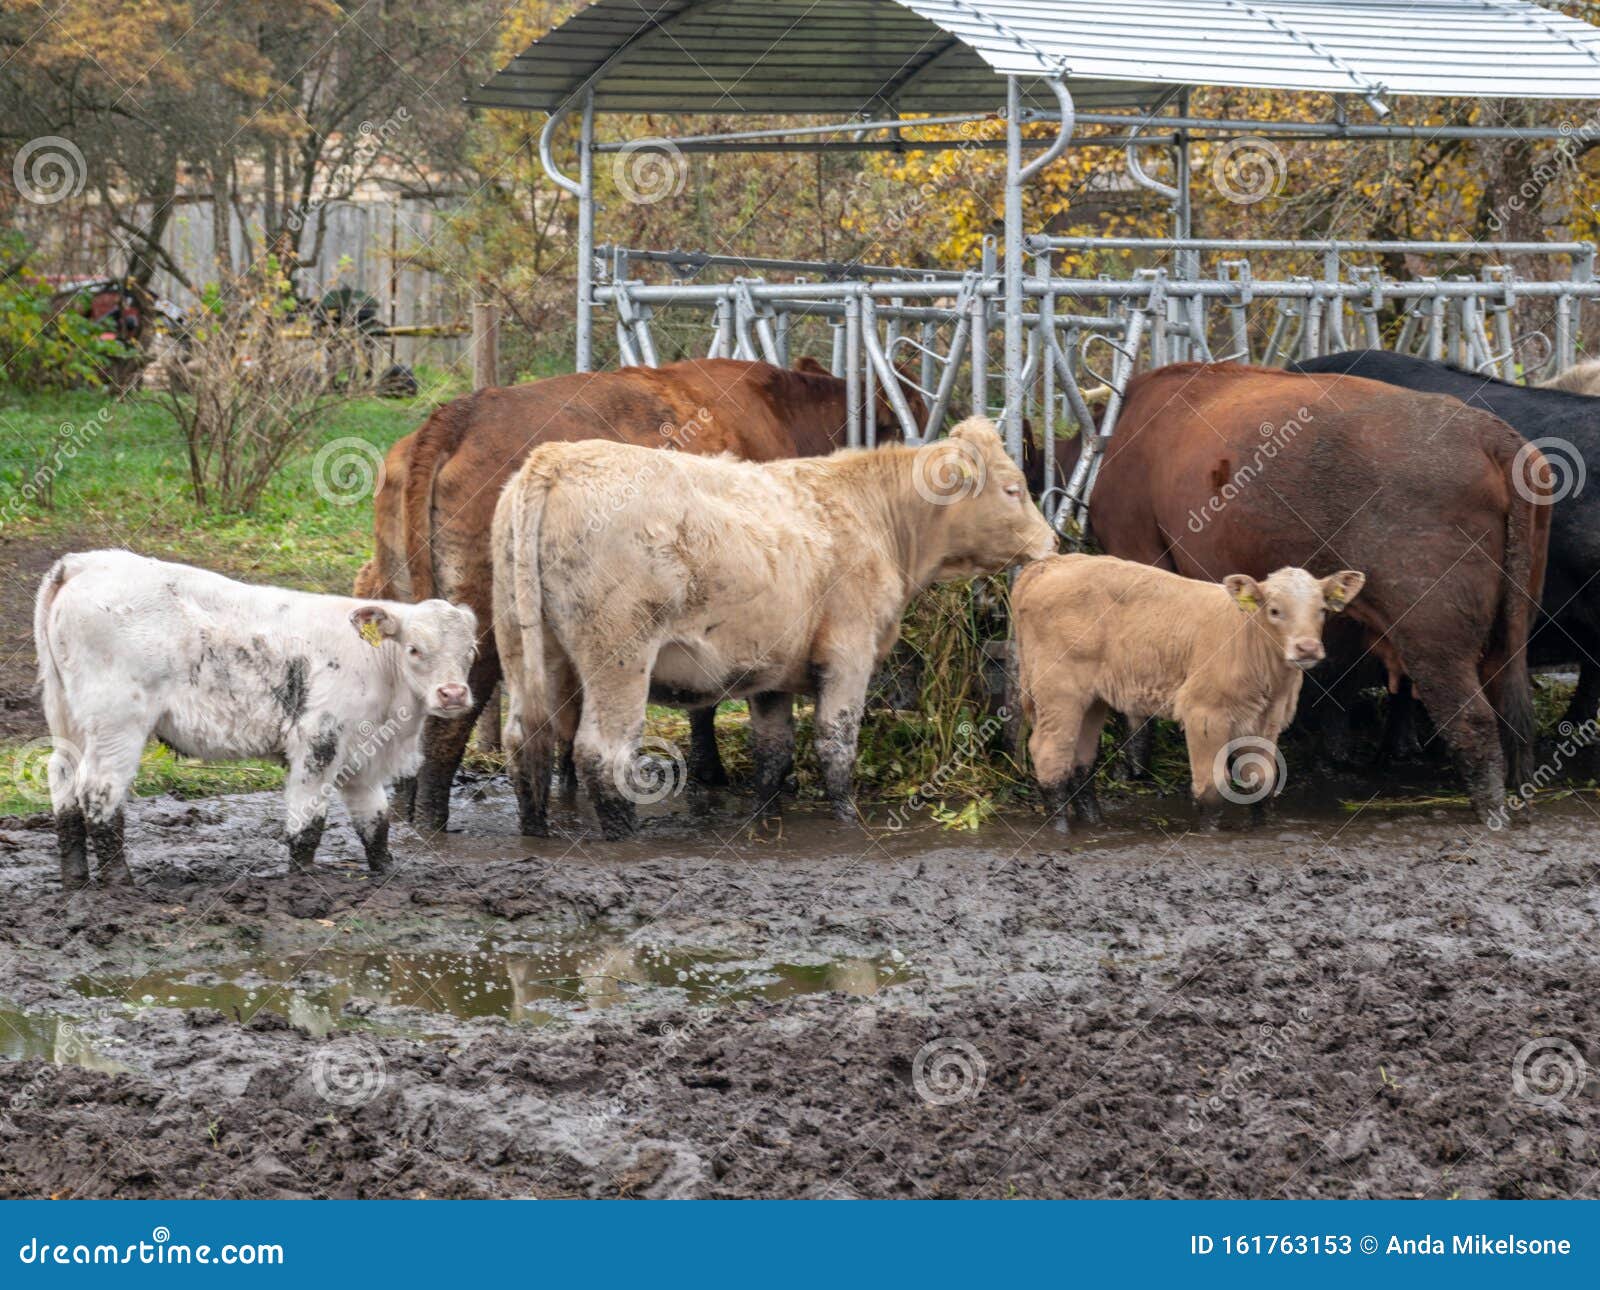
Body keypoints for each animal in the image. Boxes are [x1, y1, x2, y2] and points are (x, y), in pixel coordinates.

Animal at [34, 550, 477, 888]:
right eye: (415, 649)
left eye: (471, 650)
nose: (453, 693)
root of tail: (83, 562)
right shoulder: (318, 740)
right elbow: (307, 821)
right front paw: (302, 881)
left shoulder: (361, 753)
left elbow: (375, 821)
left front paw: (386, 874)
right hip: (117, 722)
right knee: (99, 790)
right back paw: (120, 882)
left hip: (68, 716)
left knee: (63, 779)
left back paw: (75, 877)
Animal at [354, 356, 925, 834]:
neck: (784, 412)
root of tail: (457, 417)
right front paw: (709, 770)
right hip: (483, 627)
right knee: (446, 728)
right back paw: (431, 821)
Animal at [491, 417, 1057, 839]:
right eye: (1013, 489)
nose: (1051, 541)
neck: (870, 514)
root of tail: (555, 458)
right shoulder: (849, 655)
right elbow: (835, 744)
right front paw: (847, 820)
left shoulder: (771, 673)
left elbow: (774, 753)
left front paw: (763, 817)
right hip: (620, 655)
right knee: (600, 752)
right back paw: (621, 831)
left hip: (524, 646)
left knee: (525, 739)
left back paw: (535, 827)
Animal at [1014, 554, 1365, 831]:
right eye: (1275, 610)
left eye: (1322, 609)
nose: (1307, 648)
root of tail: (1051, 563)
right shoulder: (1204, 712)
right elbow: (1211, 787)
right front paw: (1209, 831)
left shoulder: (1270, 718)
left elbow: (1263, 781)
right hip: (1058, 691)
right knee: (1048, 753)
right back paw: (1060, 827)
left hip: (1092, 698)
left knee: (1080, 761)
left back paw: (1095, 822)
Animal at [1088, 363, 1550, 824]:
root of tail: (1492, 435)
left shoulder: (1140, 554)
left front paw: (1135, 767)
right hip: (1508, 633)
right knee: (1514, 716)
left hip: (1436, 640)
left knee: (1473, 719)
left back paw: (1490, 811)